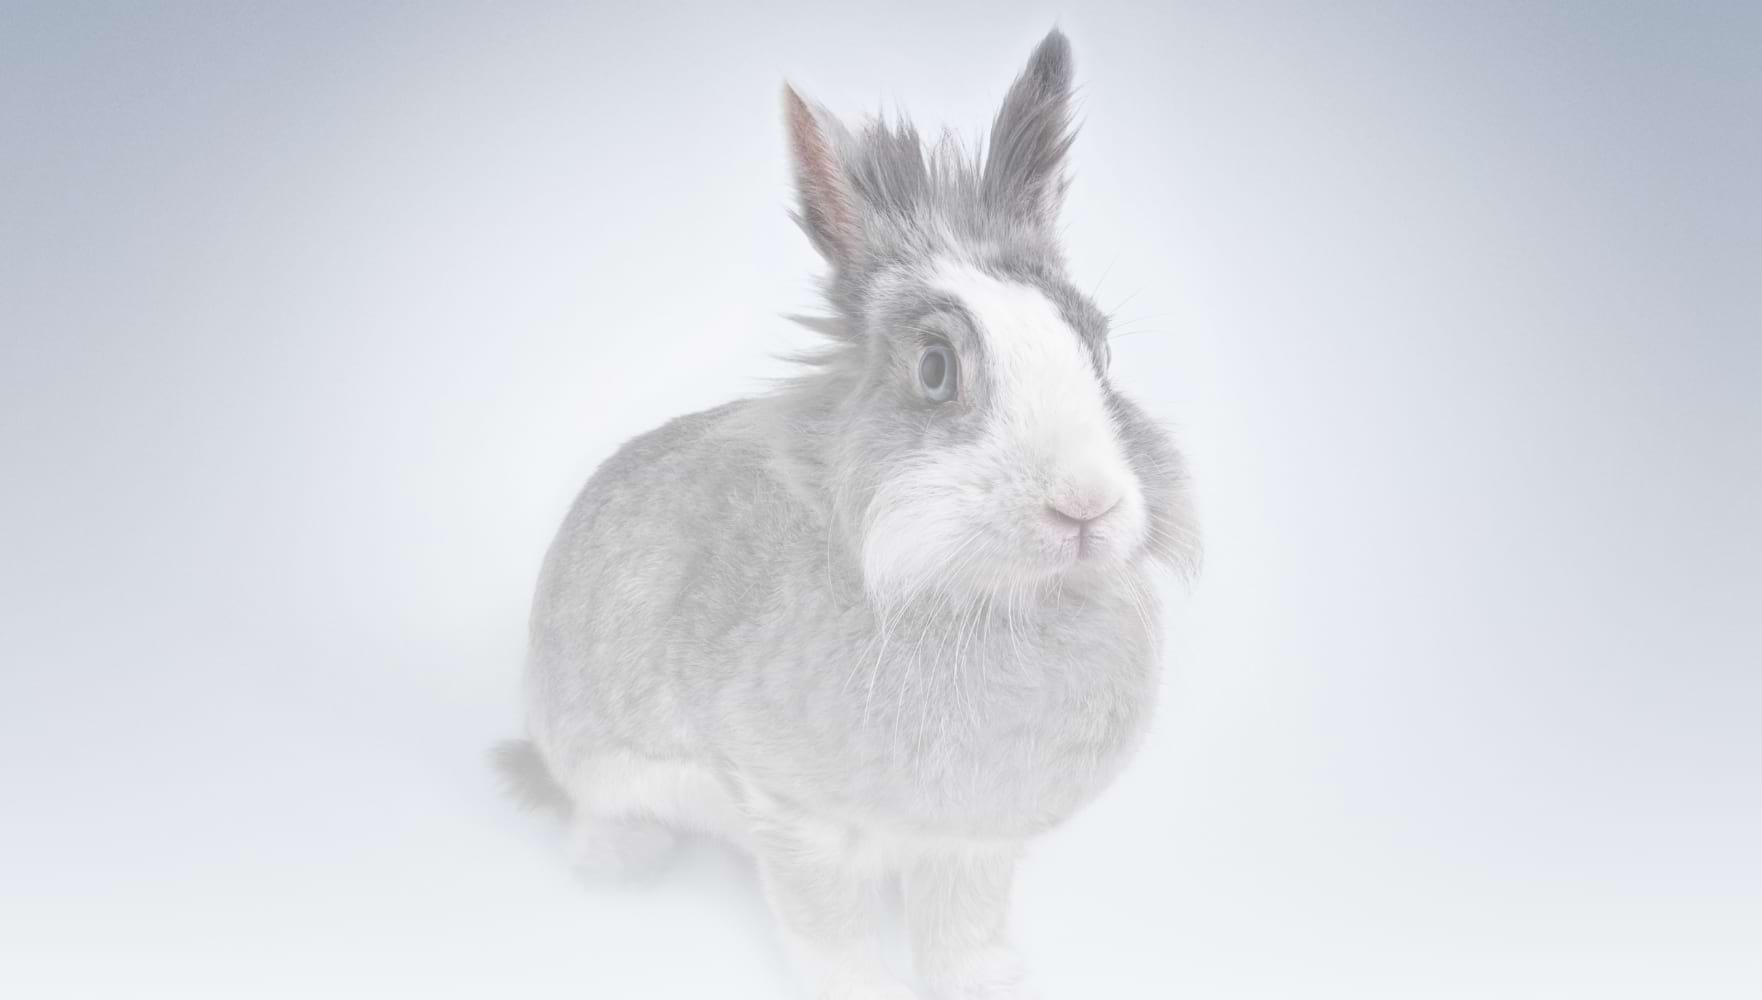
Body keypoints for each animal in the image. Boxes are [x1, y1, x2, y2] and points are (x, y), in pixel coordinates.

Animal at [497, 28, 1198, 1000]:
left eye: (1099, 350)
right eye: (935, 368)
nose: (1085, 507)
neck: (974, 598)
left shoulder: (973, 841)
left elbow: (962, 924)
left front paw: (985, 976)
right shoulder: (794, 817)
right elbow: (825, 926)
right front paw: (856, 982)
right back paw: (620, 869)